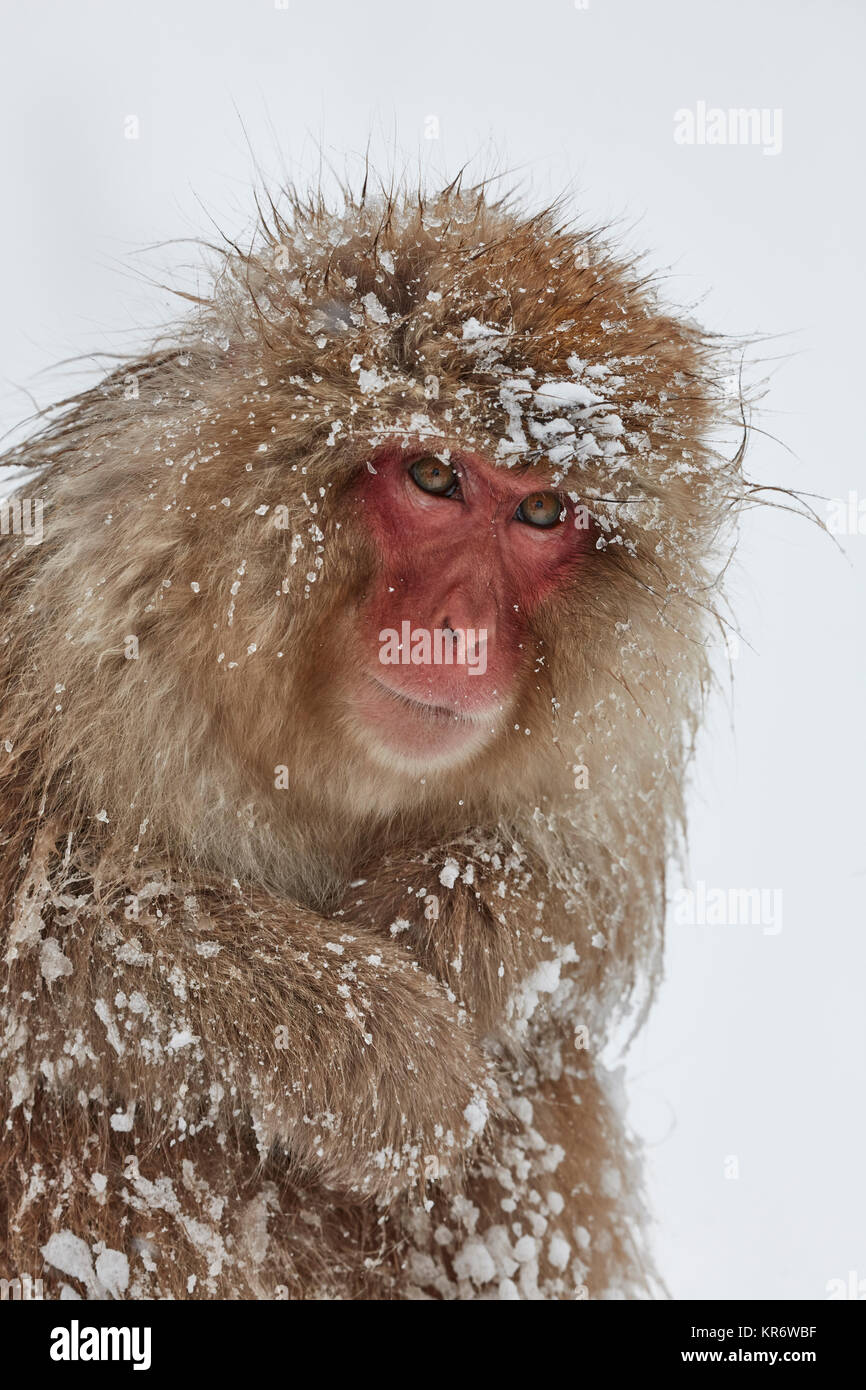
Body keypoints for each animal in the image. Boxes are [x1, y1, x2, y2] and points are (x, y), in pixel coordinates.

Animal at [0, 175, 743, 1300]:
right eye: (433, 476)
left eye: (540, 510)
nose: (456, 629)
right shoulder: (83, 620)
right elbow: (45, 929)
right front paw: (384, 1052)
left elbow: (580, 886)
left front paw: (440, 931)